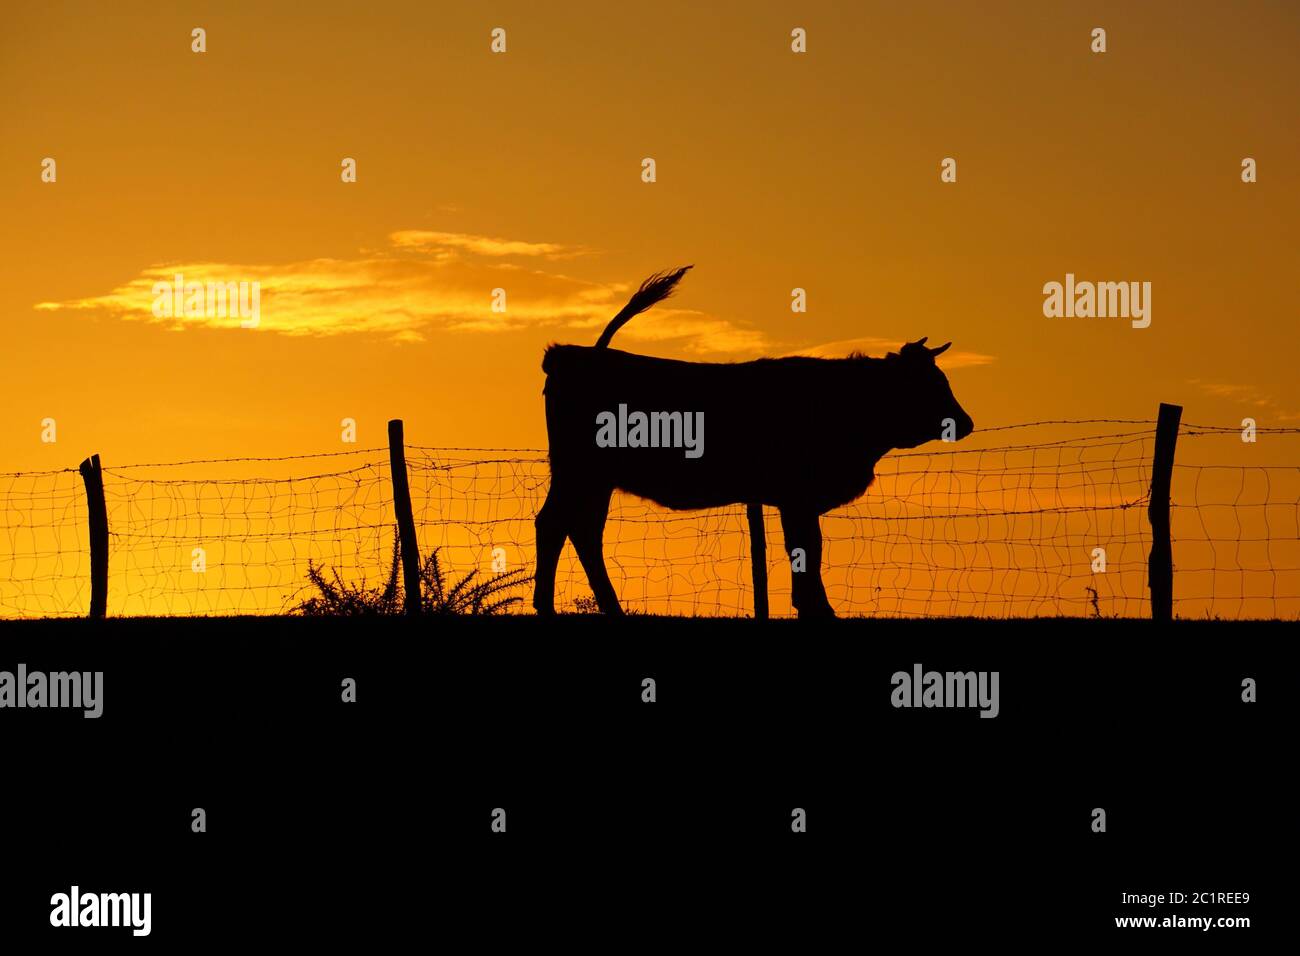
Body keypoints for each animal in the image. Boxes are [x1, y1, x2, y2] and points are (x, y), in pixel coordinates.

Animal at [534, 266, 975, 618]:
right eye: (930, 384)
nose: (965, 422)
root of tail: (574, 354)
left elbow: (807, 550)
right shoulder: (798, 497)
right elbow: (806, 551)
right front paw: (817, 610)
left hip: (595, 480)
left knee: (583, 530)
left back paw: (610, 608)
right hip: (580, 473)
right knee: (555, 524)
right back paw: (549, 607)